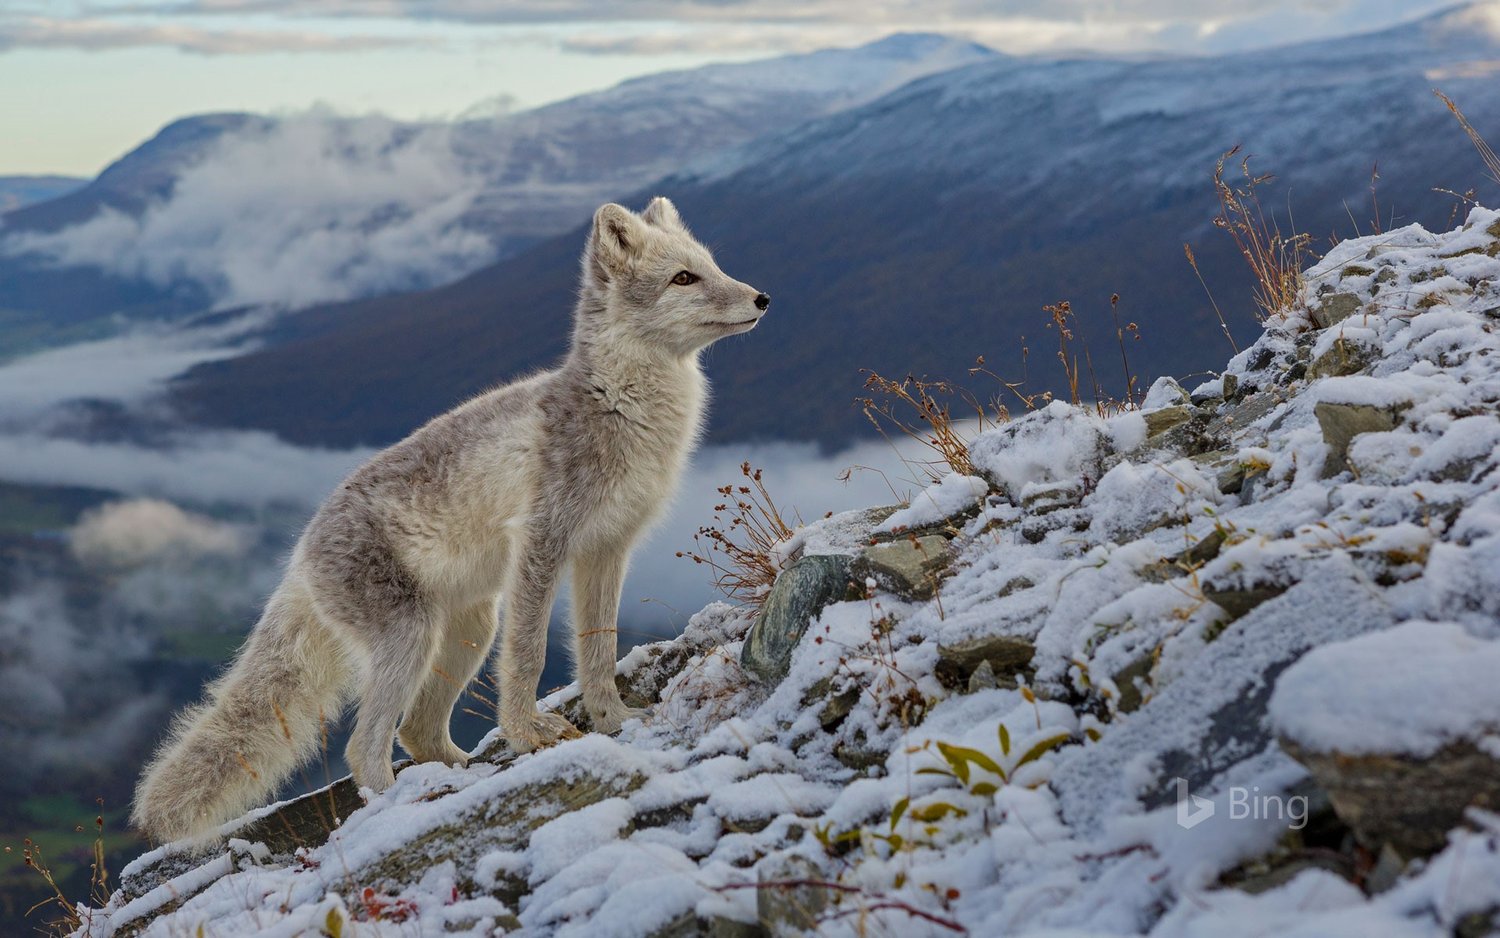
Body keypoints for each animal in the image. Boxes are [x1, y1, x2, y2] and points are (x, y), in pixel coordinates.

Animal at [132, 197, 769, 845]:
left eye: (713, 265)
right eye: (683, 279)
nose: (763, 298)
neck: (620, 406)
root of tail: (299, 554)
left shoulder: (607, 551)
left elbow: (598, 652)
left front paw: (615, 720)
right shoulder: (542, 544)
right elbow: (530, 656)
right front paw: (528, 735)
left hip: (468, 630)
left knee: (416, 732)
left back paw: (457, 774)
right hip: (413, 637)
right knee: (366, 748)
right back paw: (398, 805)